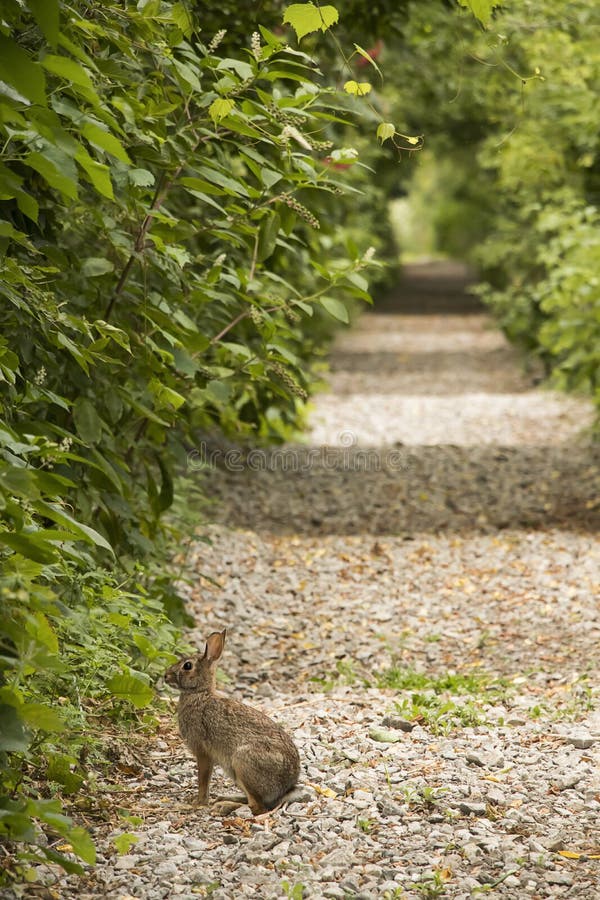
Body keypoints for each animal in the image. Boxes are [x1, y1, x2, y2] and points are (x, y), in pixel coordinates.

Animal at [164, 629, 300, 816]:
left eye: (187, 666)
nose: (165, 676)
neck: (199, 693)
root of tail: (286, 787)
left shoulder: (202, 751)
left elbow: (203, 780)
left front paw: (197, 803)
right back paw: (224, 799)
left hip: (242, 763)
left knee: (257, 807)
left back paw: (224, 806)